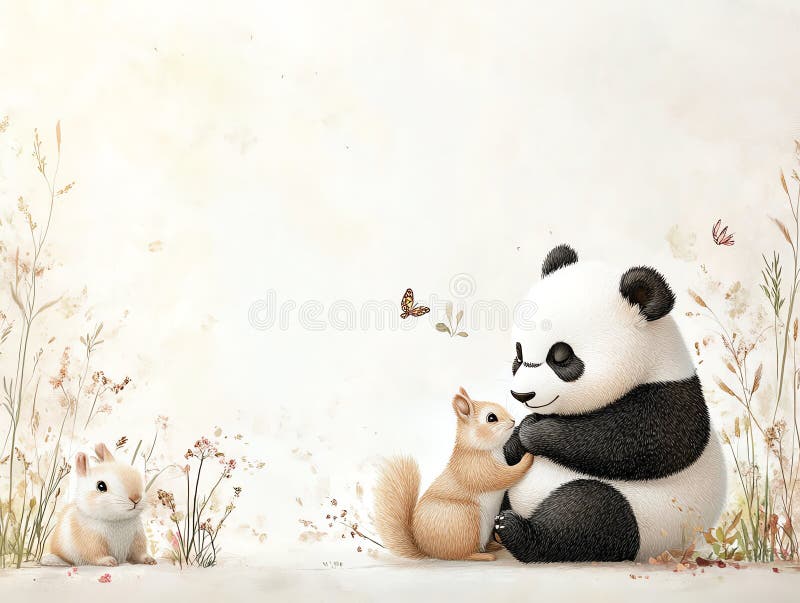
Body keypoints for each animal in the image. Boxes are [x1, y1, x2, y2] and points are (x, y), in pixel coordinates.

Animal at [374, 387, 534, 561]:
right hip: (466, 517)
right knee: (461, 554)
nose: (513, 421)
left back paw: (493, 546)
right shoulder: (475, 469)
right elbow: (502, 477)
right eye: (491, 418)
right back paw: (483, 556)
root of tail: (427, 549)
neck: (477, 448)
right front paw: (528, 458)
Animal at [494, 244, 726, 562]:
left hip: (648, 518)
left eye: (561, 355)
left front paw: (535, 433)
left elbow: (629, 444)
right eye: (519, 354)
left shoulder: (671, 398)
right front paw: (520, 436)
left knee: (591, 512)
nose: (522, 395)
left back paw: (515, 530)